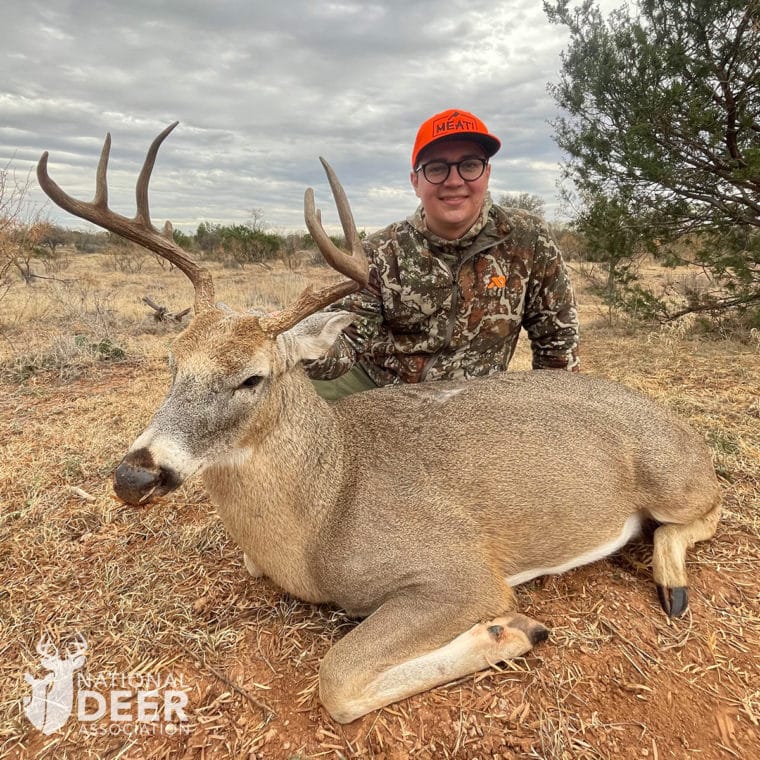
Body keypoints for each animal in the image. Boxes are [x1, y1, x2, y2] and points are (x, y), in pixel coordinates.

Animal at [37, 124, 721, 724]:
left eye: (252, 377)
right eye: (173, 360)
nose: (135, 475)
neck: (325, 509)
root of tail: (678, 426)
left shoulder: (461, 573)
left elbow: (337, 679)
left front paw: (514, 630)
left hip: (671, 478)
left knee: (709, 508)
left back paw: (671, 584)